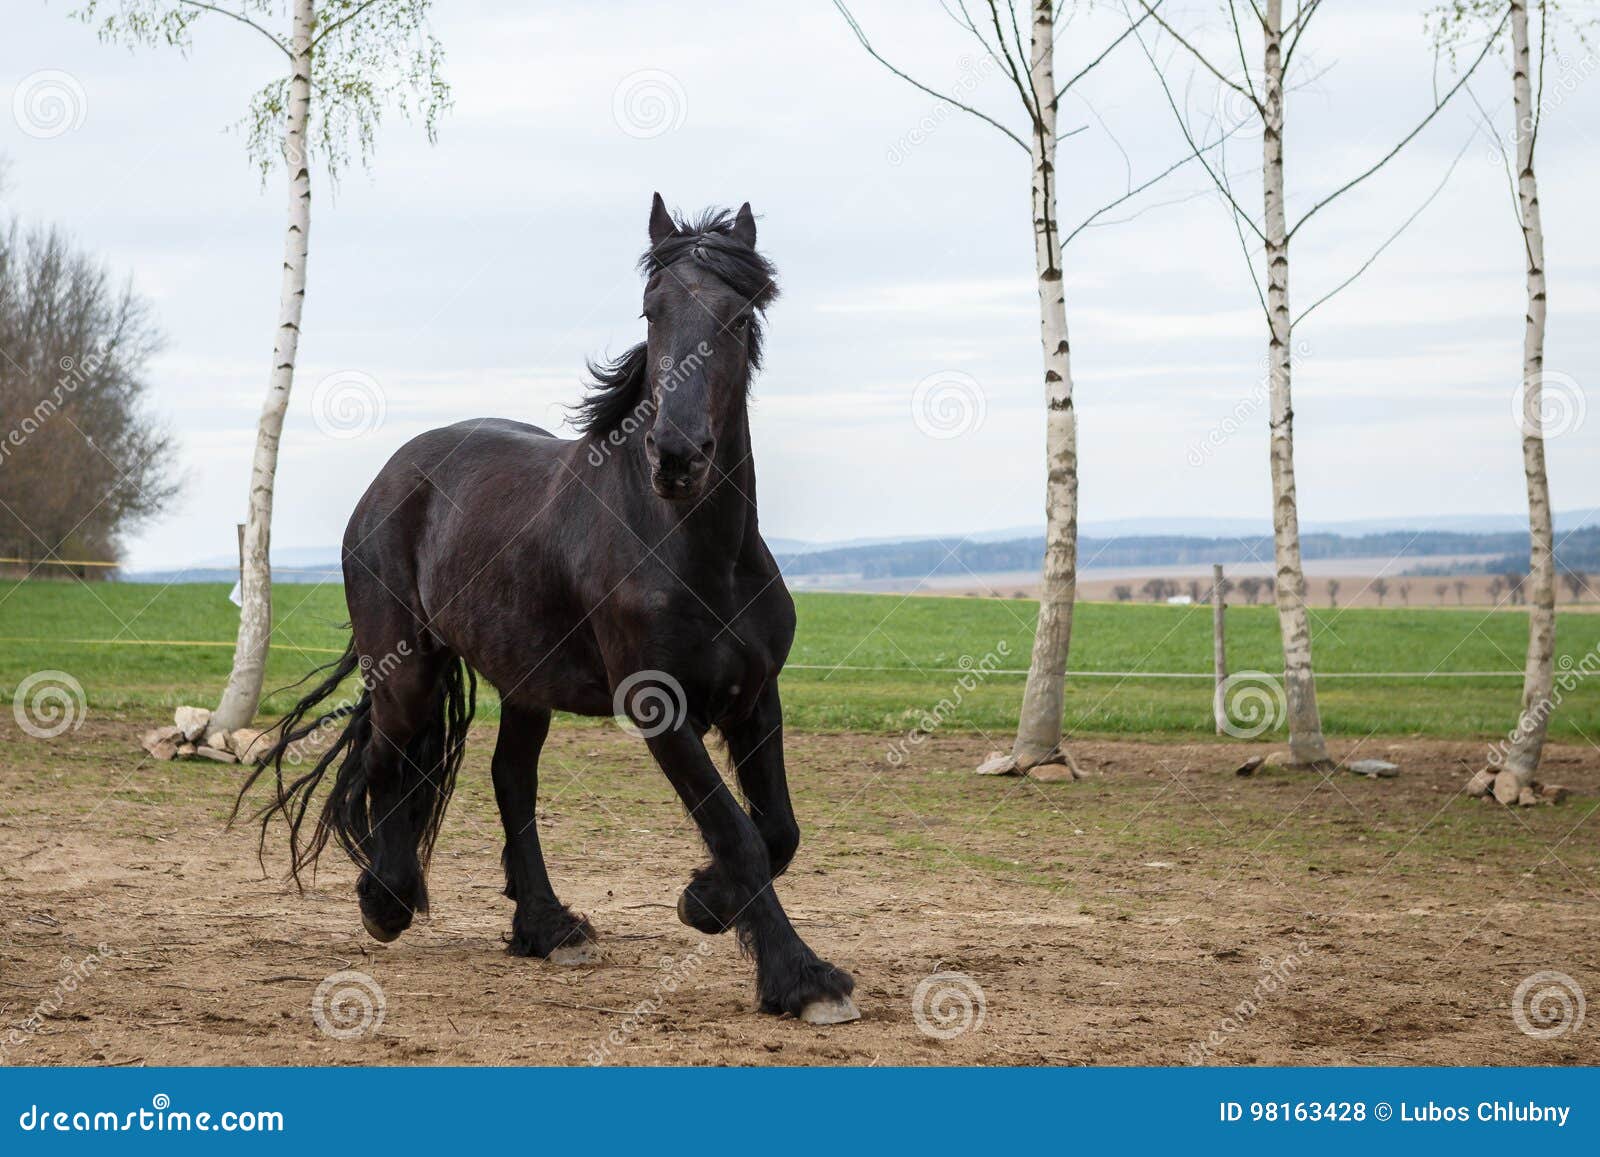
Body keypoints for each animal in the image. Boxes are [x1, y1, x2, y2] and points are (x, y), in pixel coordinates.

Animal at [239, 195, 859, 1024]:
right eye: (652, 309)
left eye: (735, 316)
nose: (676, 455)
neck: (699, 551)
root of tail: (394, 475)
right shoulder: (662, 709)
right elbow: (738, 832)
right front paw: (803, 978)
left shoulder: (757, 698)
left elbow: (779, 832)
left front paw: (703, 901)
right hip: (405, 669)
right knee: (388, 757)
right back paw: (387, 899)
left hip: (525, 683)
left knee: (508, 778)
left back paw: (546, 925)